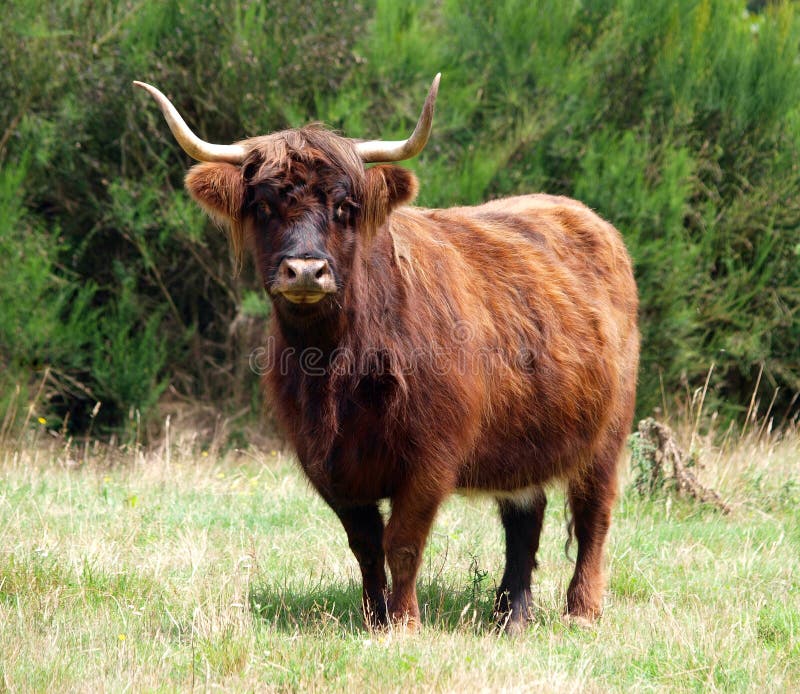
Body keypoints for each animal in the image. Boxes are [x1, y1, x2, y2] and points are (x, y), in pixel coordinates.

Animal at [134, 75, 639, 635]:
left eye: (344, 208)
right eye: (263, 207)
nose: (305, 271)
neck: (334, 366)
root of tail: (585, 216)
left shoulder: (430, 457)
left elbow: (403, 542)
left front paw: (403, 623)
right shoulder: (324, 461)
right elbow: (365, 544)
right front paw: (373, 618)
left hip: (608, 433)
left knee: (594, 514)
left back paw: (582, 610)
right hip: (526, 435)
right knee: (525, 517)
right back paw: (511, 615)